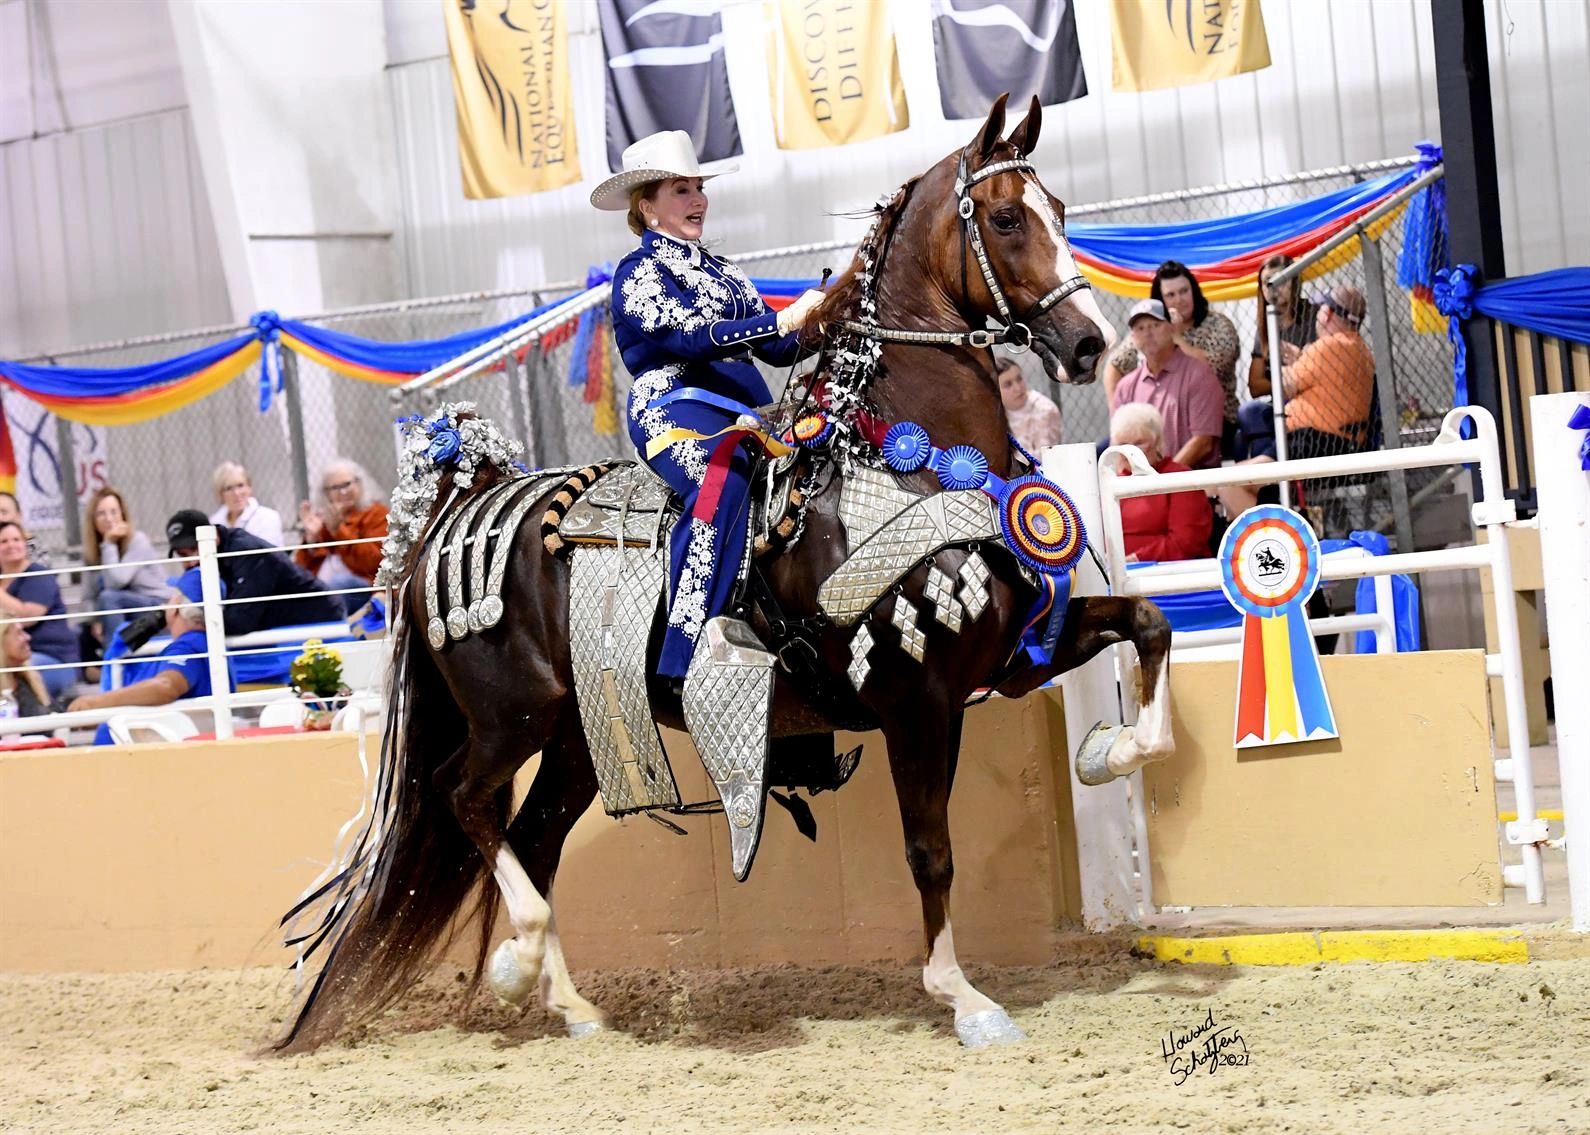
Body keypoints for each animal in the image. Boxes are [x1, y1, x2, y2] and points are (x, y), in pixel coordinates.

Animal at [276, 95, 1175, 1054]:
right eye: (1006, 218)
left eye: (1062, 212)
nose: (1091, 343)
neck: (916, 456)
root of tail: (455, 512)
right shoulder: (916, 698)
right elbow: (929, 848)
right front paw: (963, 997)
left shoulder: (1008, 658)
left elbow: (1148, 626)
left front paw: (1110, 749)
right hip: (509, 714)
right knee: (467, 800)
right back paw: (519, 962)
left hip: (575, 738)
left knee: (533, 835)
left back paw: (571, 1002)